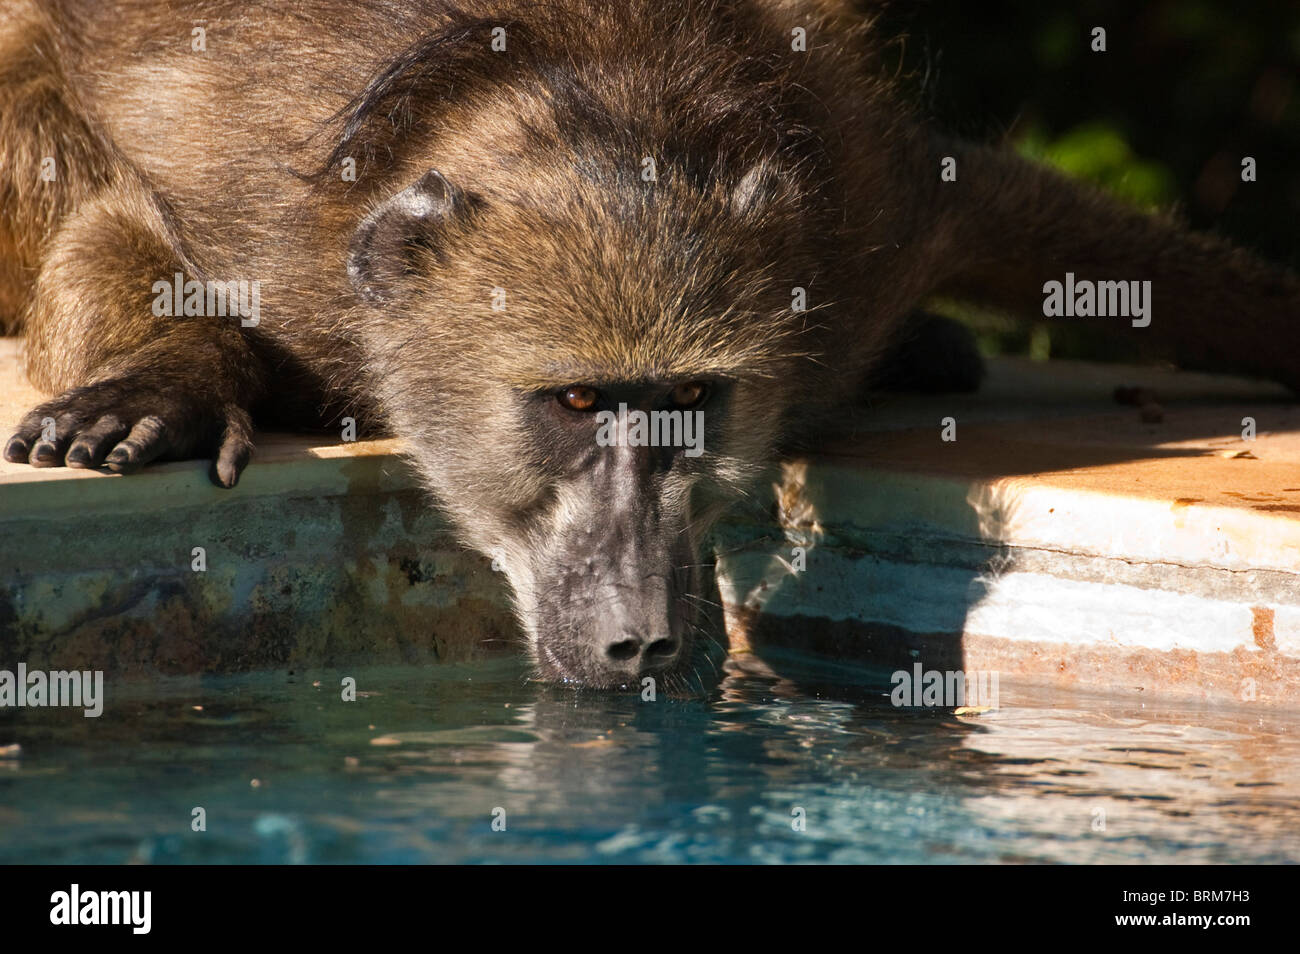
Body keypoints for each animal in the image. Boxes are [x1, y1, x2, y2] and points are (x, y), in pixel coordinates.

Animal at [2, 0, 1297, 689]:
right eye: (576, 403)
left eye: (689, 400)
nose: (639, 643)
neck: (581, 98)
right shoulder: (261, 221)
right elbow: (114, 226)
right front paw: (162, 385)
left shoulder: (861, 222)